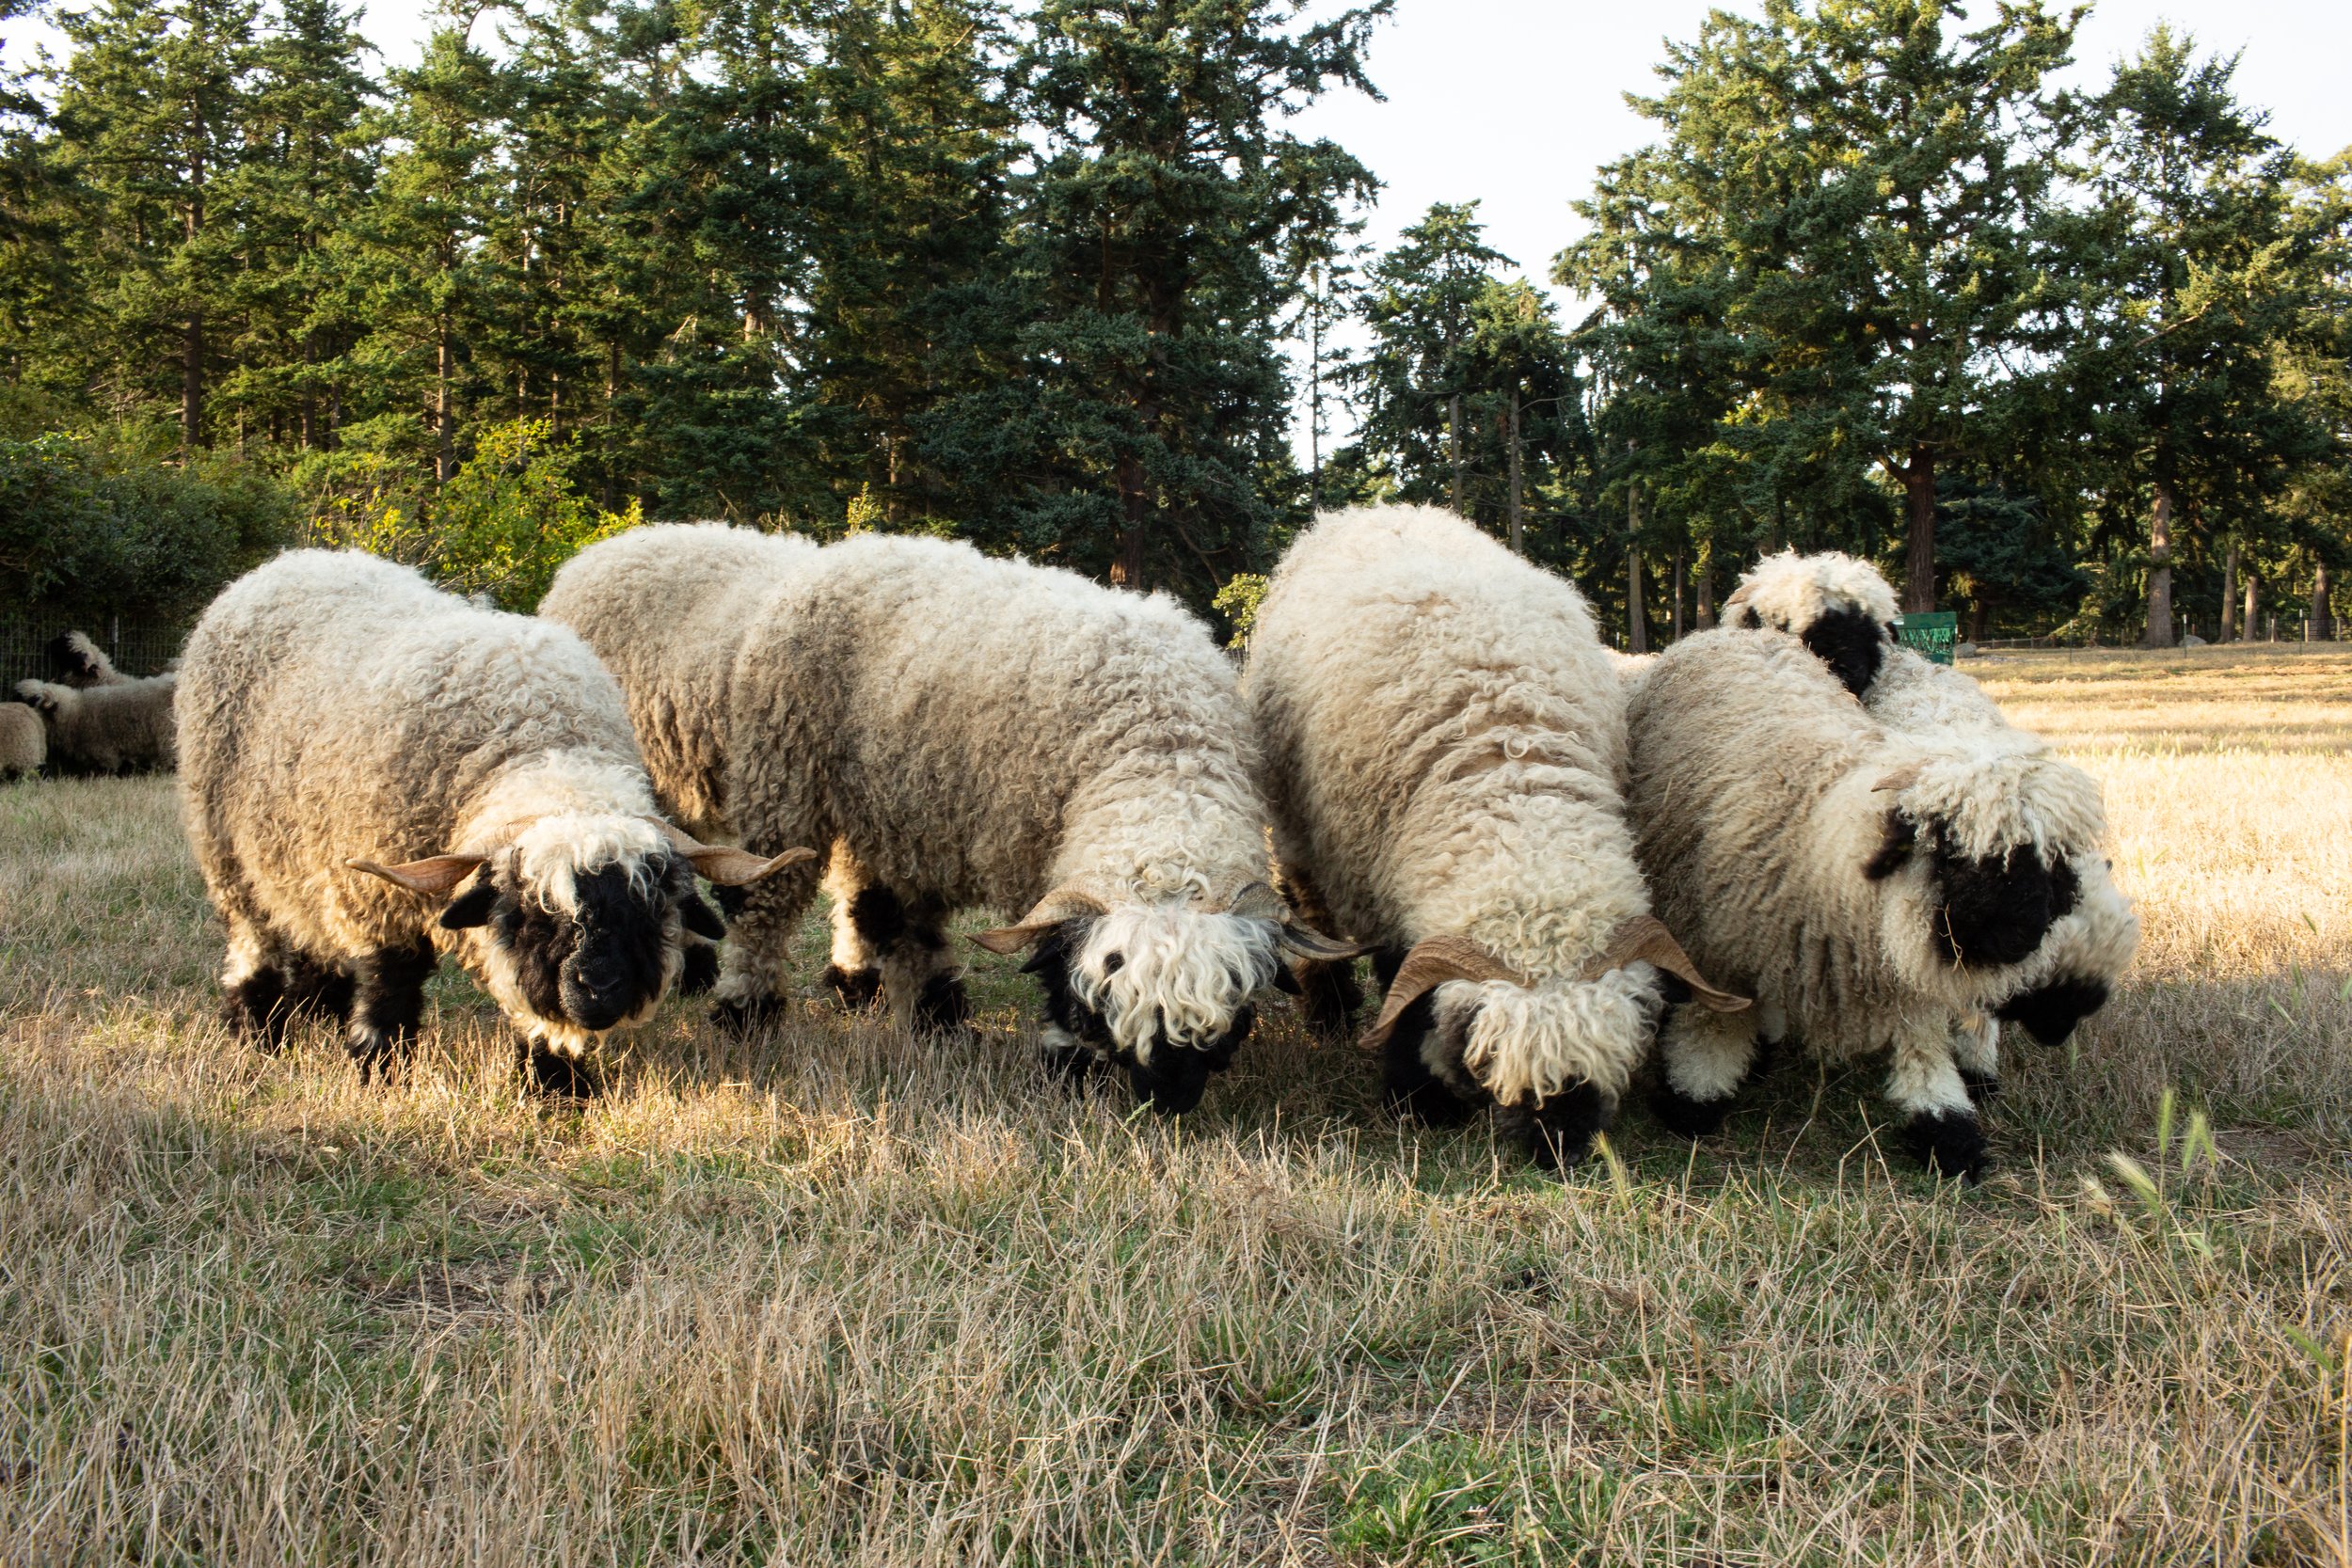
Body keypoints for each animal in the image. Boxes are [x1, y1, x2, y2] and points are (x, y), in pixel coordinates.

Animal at [176, 549, 809, 1089]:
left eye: (651, 909)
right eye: (533, 913)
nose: (599, 988)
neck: (536, 741)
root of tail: (294, 560)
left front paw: (557, 1086)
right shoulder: (376, 892)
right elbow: (391, 979)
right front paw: (379, 1065)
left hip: (295, 853)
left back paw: (319, 1006)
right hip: (223, 842)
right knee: (252, 935)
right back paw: (256, 1027)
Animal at [541, 525, 1357, 1114]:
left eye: (1235, 1022)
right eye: (1104, 1006)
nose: (1170, 1105)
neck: (1158, 748)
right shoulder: (1034, 850)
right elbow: (1051, 954)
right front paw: (1064, 1058)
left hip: (894, 799)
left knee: (880, 907)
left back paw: (900, 998)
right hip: (788, 777)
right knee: (769, 905)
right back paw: (748, 1005)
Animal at [1243, 504, 1747, 1168]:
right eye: (1487, 1058)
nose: (1558, 1148)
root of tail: (1383, 509)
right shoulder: (1380, 894)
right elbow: (1402, 992)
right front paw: (1418, 1101)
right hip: (1295, 830)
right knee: (1309, 910)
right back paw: (1329, 1015)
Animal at [1624, 627, 2110, 1178]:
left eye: (2053, 864)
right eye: (1950, 851)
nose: (2021, 939)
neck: (1821, 834)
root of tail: (1726, 632)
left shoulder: (1907, 968)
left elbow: (1923, 1050)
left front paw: (1948, 1130)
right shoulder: (1715, 951)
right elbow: (1711, 1029)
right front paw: (1693, 1100)